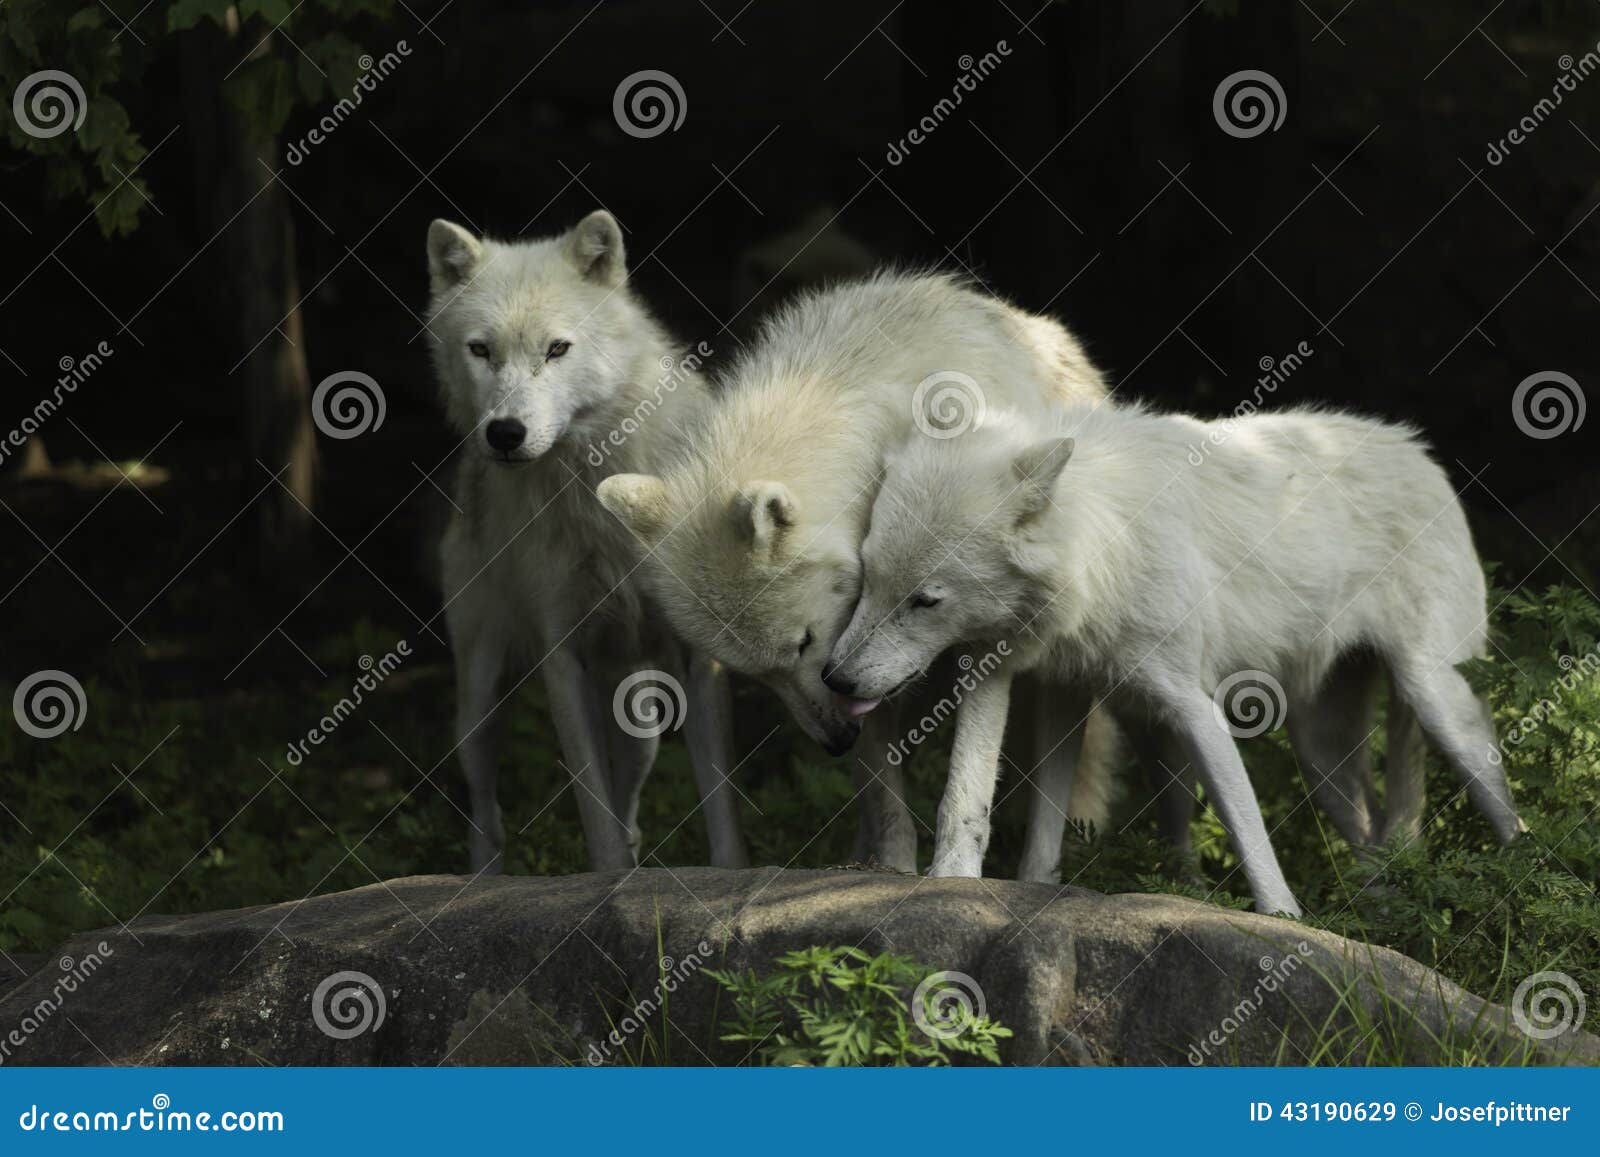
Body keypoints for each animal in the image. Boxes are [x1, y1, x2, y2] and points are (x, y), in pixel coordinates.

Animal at [427, 210, 746, 874]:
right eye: (481, 350)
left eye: (556, 349)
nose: (504, 432)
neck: (598, 489)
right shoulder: (563, 658)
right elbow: (594, 819)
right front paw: (610, 889)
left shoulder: (699, 659)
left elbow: (721, 816)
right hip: (480, 702)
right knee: (486, 814)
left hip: (642, 718)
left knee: (630, 813)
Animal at [597, 271, 1113, 875]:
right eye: (761, 676)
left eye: (802, 643)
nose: (836, 741)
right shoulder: (853, 669)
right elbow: (882, 794)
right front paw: (893, 869)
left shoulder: (973, 643)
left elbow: (966, 782)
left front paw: (952, 877)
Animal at [825, 403, 1525, 915]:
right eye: (869, 580)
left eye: (925, 600)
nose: (835, 678)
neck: (1104, 546)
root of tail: (1420, 452)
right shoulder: (1040, 683)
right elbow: (985, 800)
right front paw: (975, 882)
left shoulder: (1194, 705)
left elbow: (1248, 833)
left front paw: (1284, 920)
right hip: (1321, 756)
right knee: (1375, 832)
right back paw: (1378, 920)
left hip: (1438, 707)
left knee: (1503, 816)